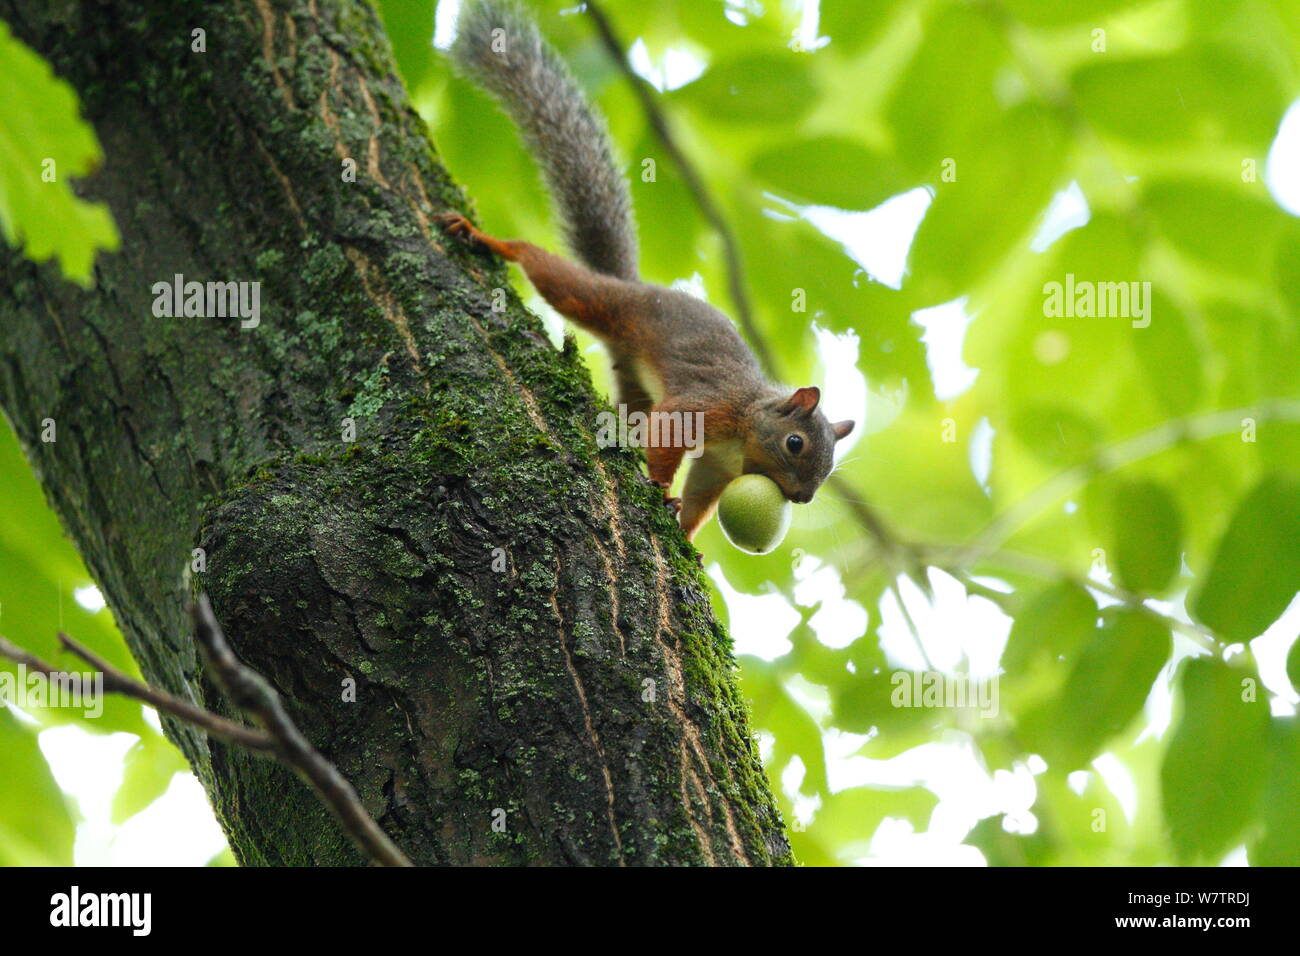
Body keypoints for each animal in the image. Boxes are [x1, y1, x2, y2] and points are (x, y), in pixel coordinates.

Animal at [439, 0, 854, 542]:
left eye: (828, 468)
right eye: (796, 444)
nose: (803, 497)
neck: (746, 420)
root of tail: (634, 286)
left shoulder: (718, 466)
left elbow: (700, 495)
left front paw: (689, 539)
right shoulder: (704, 406)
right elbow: (667, 434)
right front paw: (659, 488)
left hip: (631, 379)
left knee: (632, 411)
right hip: (598, 300)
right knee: (546, 269)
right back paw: (486, 238)